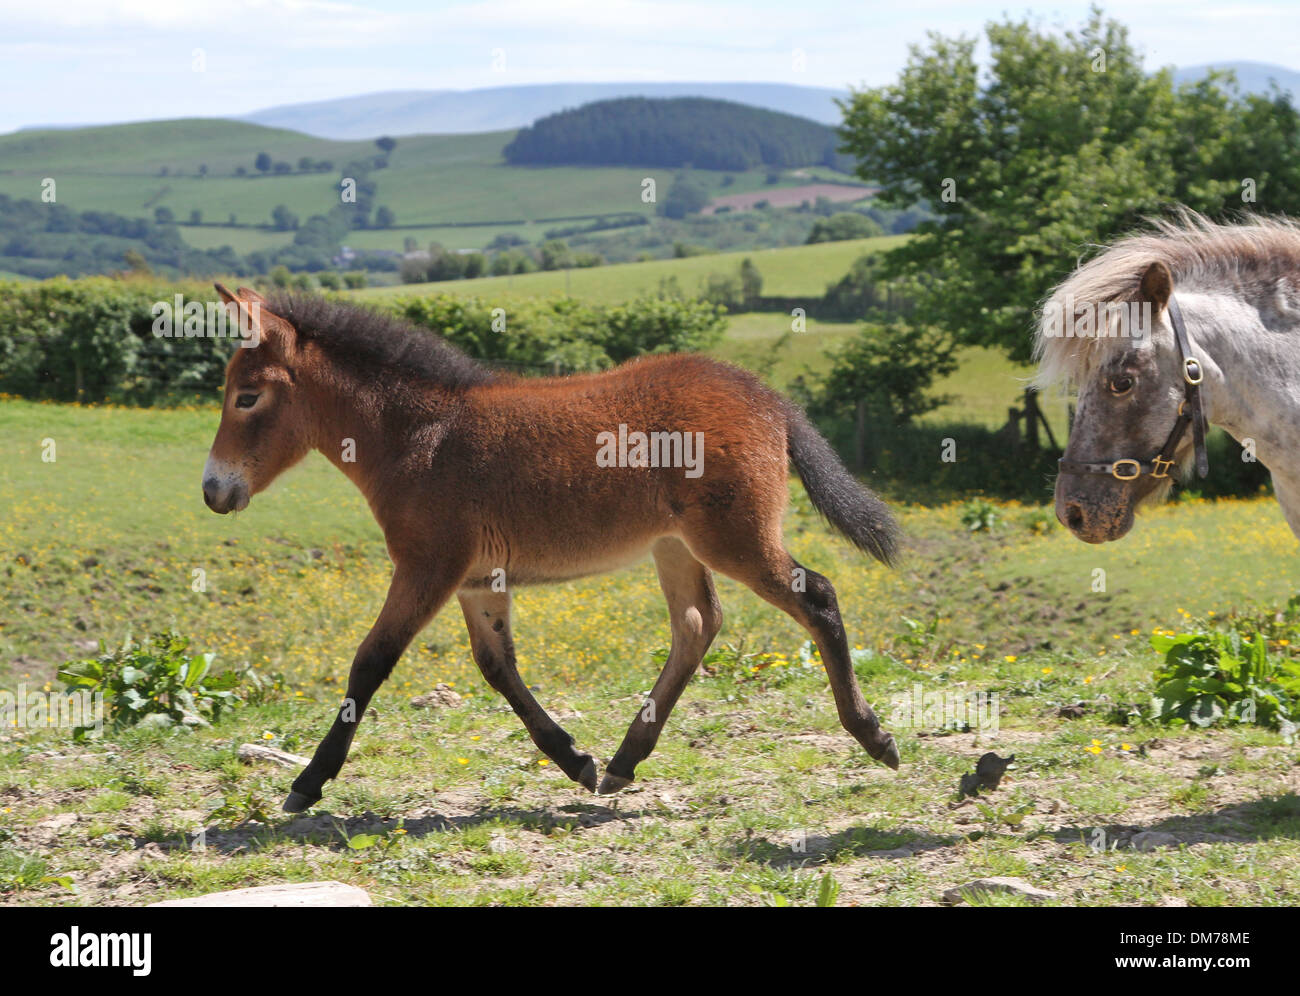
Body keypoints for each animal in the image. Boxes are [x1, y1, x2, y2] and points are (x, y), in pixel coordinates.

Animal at [202, 284, 902, 813]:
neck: (418, 435)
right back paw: (622, 762)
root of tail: (770, 397)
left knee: (816, 595)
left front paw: (307, 783)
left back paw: (871, 735)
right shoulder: (476, 580)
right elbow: (497, 667)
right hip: (676, 546)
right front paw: (576, 760)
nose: (213, 490)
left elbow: (369, 663)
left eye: (247, 397)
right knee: (698, 624)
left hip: (735, 539)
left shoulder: (428, 567)